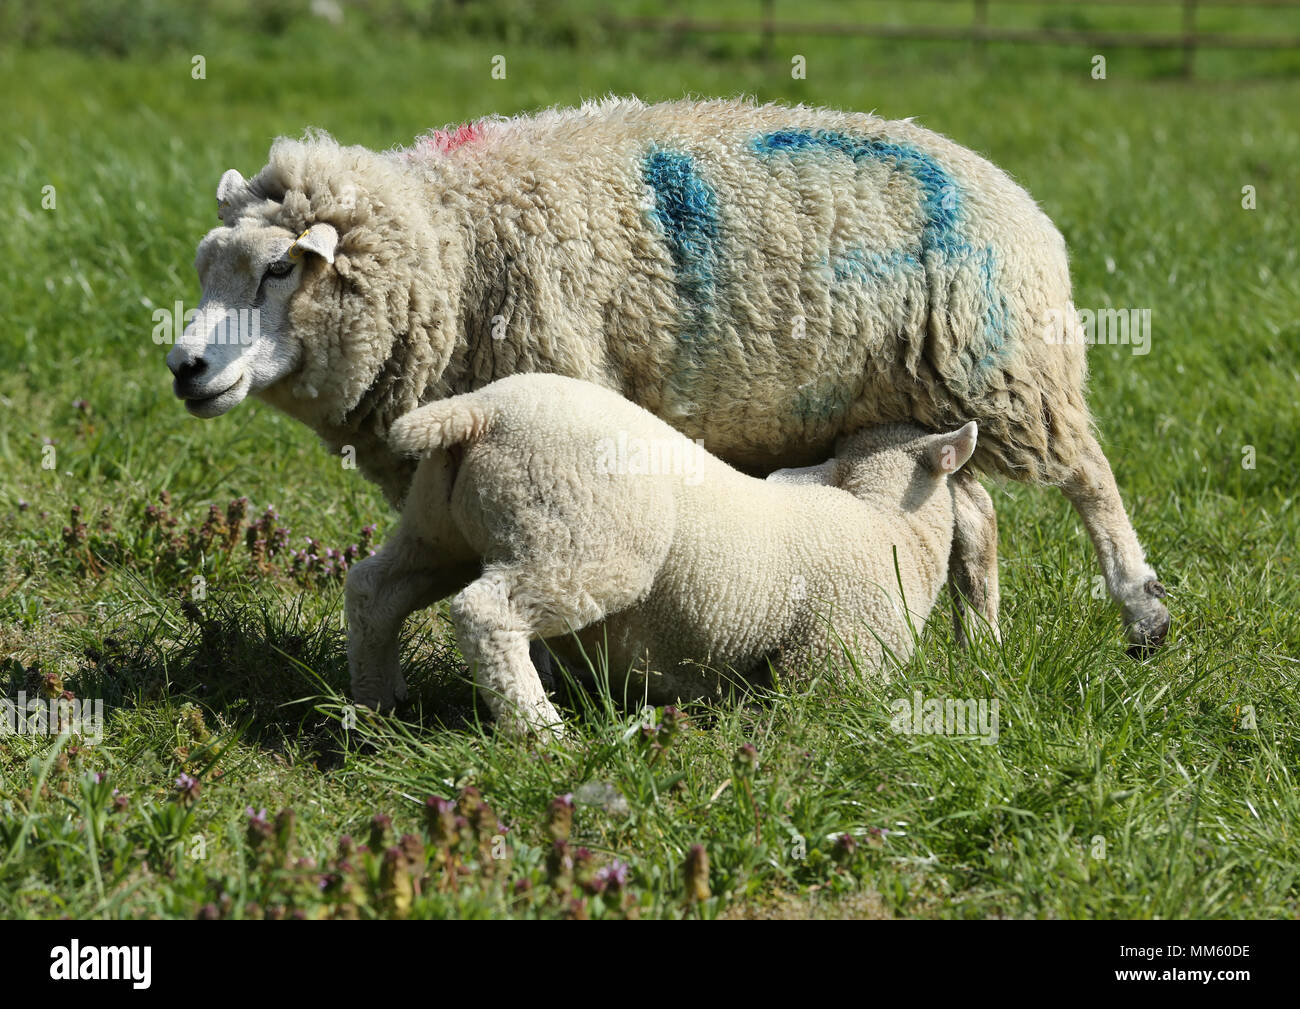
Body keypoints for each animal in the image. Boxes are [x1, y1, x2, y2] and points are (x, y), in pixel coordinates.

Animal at [165, 96, 1168, 652]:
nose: (184, 366)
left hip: (1010, 371)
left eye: (281, 268)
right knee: (974, 513)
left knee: (1089, 478)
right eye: (208, 265)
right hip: (904, 400)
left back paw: (1141, 610)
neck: (452, 249)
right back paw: (981, 639)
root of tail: (1020, 200)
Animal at [349, 373, 983, 731]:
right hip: (578, 540)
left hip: (439, 528)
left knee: (372, 590)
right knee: (486, 614)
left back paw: (377, 705)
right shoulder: (830, 658)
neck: (885, 522)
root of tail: (482, 410)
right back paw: (538, 732)